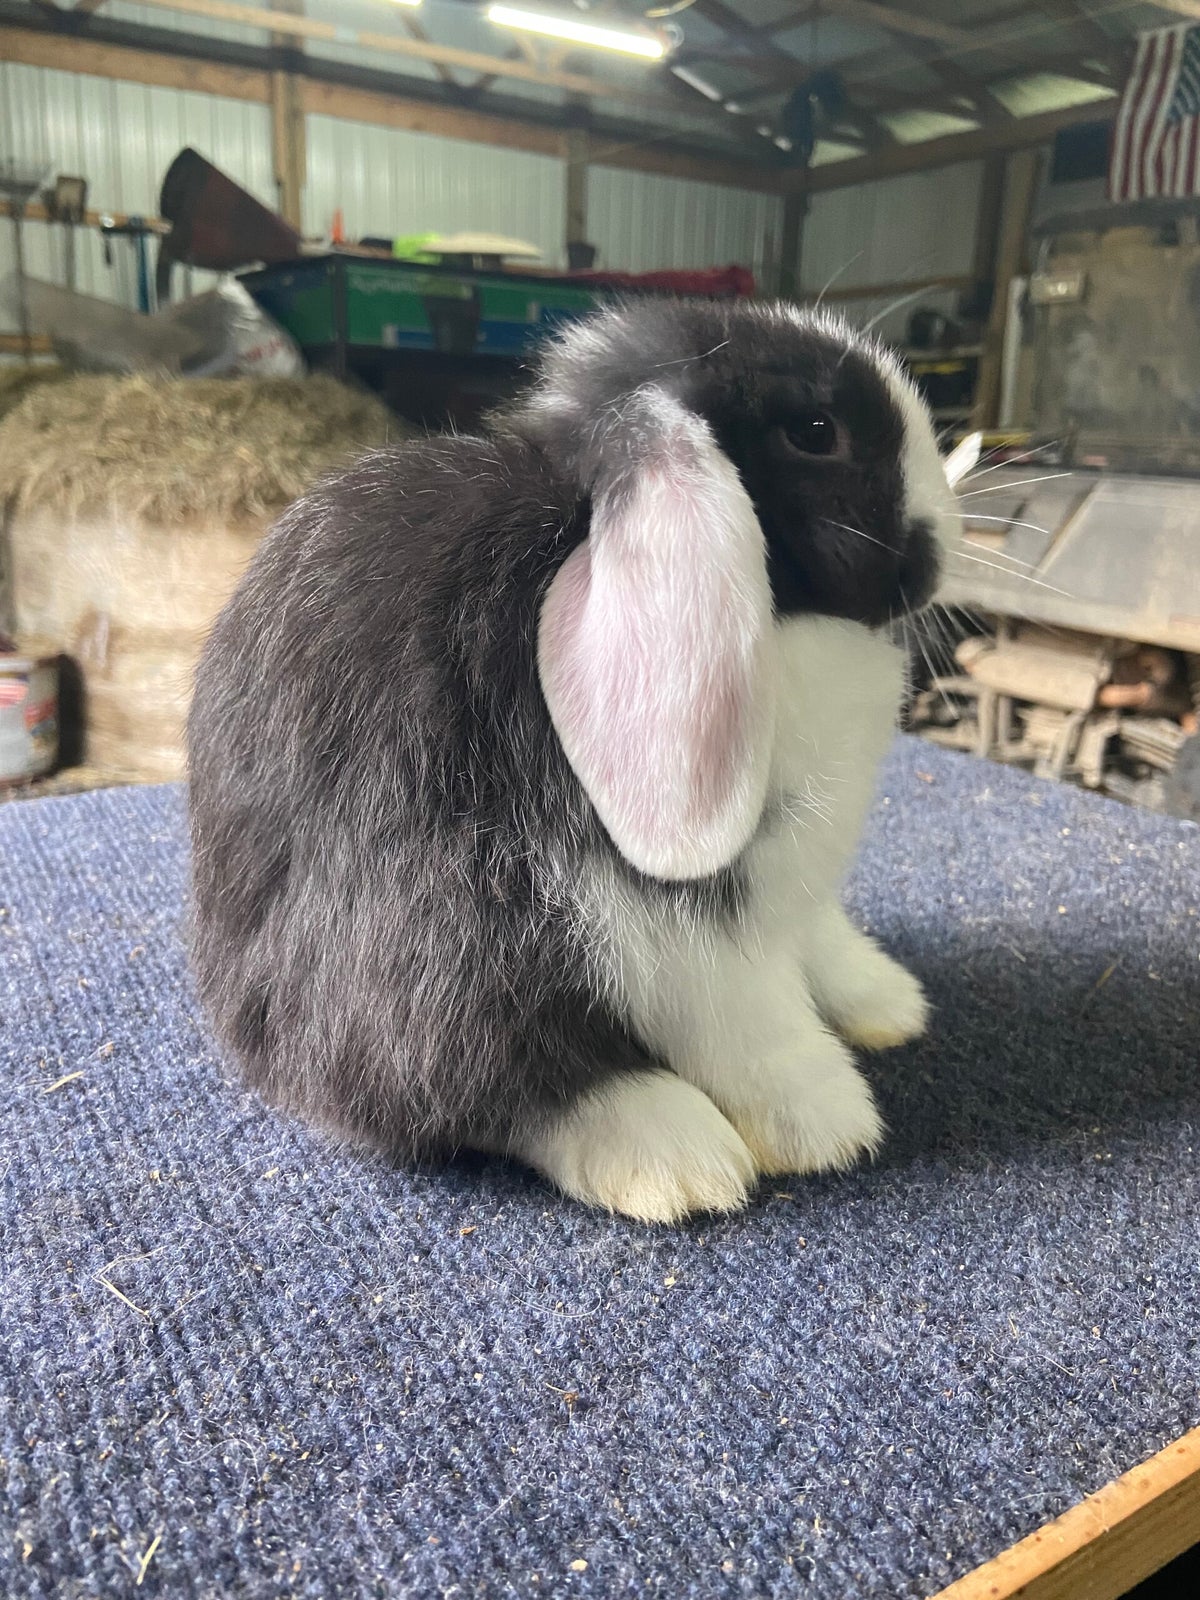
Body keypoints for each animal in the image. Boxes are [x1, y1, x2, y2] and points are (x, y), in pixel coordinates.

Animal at [187, 297, 959, 1223]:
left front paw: (887, 1005)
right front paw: (828, 1121)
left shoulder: (793, 894)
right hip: (452, 936)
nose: (939, 551)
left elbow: (819, 942)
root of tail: (246, 1023)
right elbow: (753, 1021)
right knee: (477, 1079)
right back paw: (677, 1155)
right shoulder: (681, 920)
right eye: (816, 432)